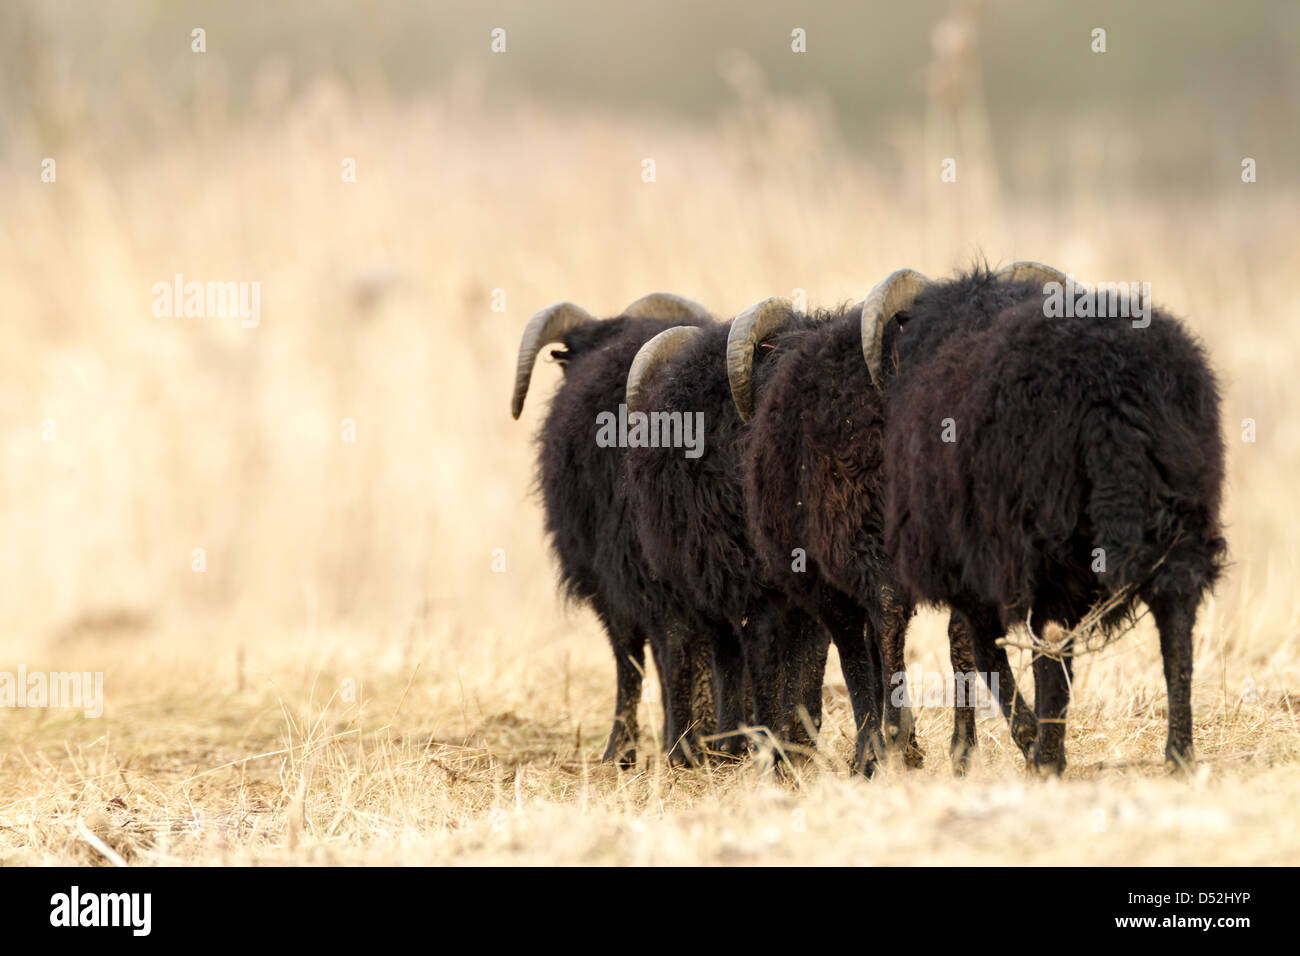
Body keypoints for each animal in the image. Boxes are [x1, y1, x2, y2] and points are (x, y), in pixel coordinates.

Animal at [863, 263, 1227, 774]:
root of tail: (1110, 387)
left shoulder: (971, 559)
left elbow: (976, 645)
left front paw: (1020, 736)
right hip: (1179, 508)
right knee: (1176, 612)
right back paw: (1179, 753)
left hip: (1043, 531)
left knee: (1052, 635)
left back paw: (1047, 753)